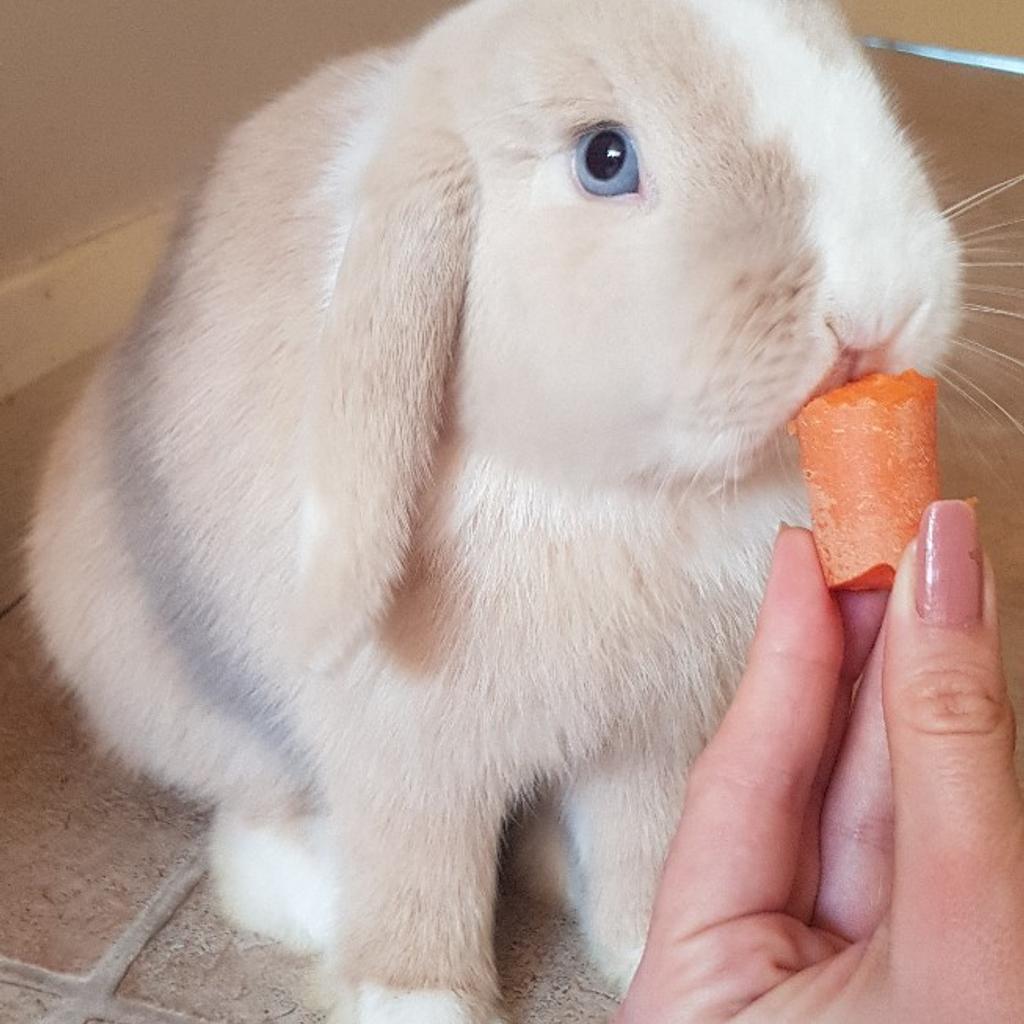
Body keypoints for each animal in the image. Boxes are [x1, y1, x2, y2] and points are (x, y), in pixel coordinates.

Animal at [26, 0, 961, 1020]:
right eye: (605, 159)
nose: (879, 305)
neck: (607, 496)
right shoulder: (403, 750)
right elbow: (416, 867)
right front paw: (415, 1001)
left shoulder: (651, 737)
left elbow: (644, 843)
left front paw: (646, 944)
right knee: (260, 813)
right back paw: (311, 892)